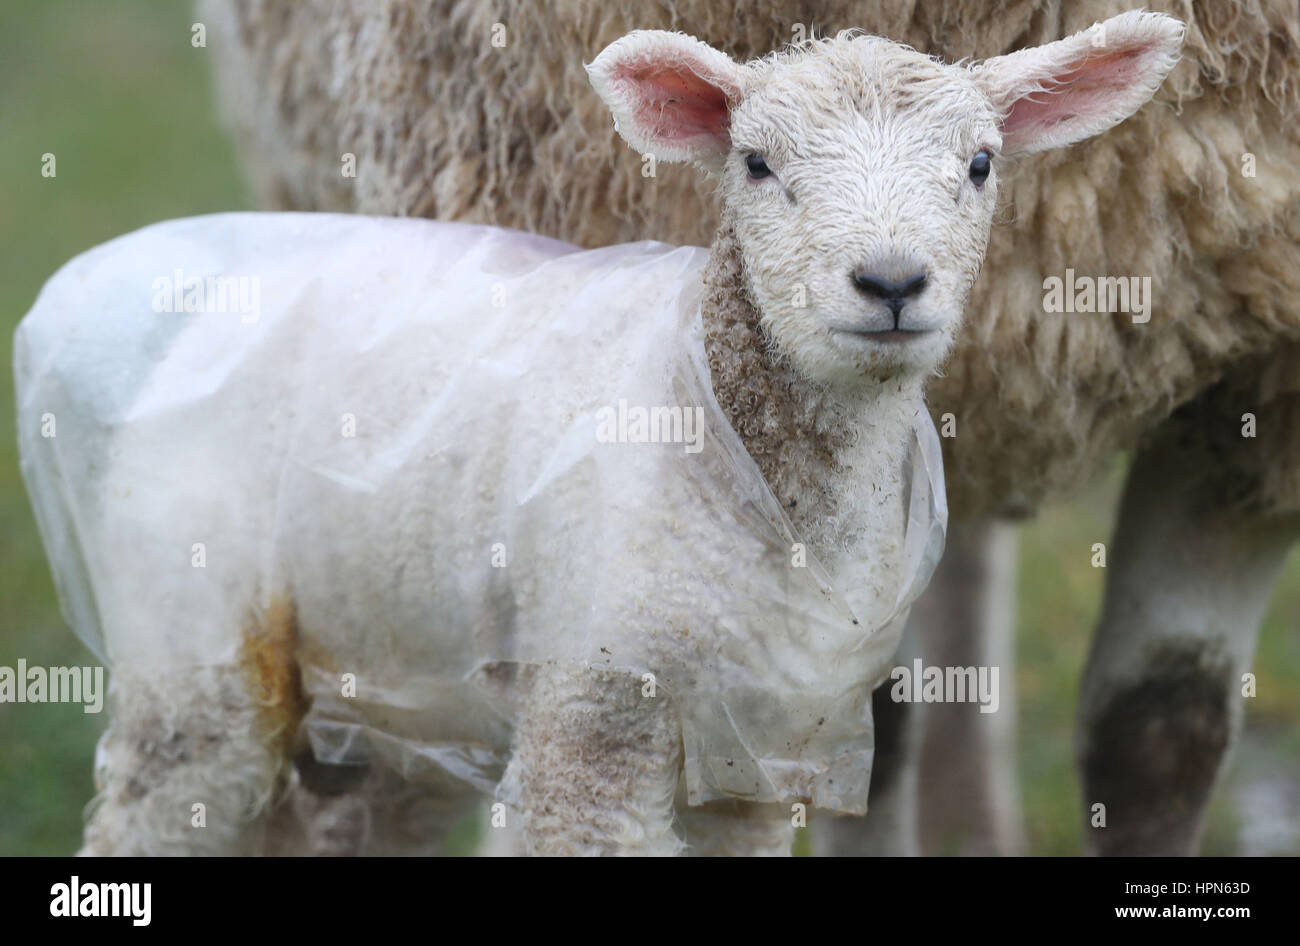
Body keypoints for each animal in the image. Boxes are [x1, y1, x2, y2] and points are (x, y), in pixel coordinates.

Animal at [17, 17, 1179, 856]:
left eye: (981, 164)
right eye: (755, 165)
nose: (891, 282)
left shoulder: (757, 754)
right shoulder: (591, 718)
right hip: (194, 638)